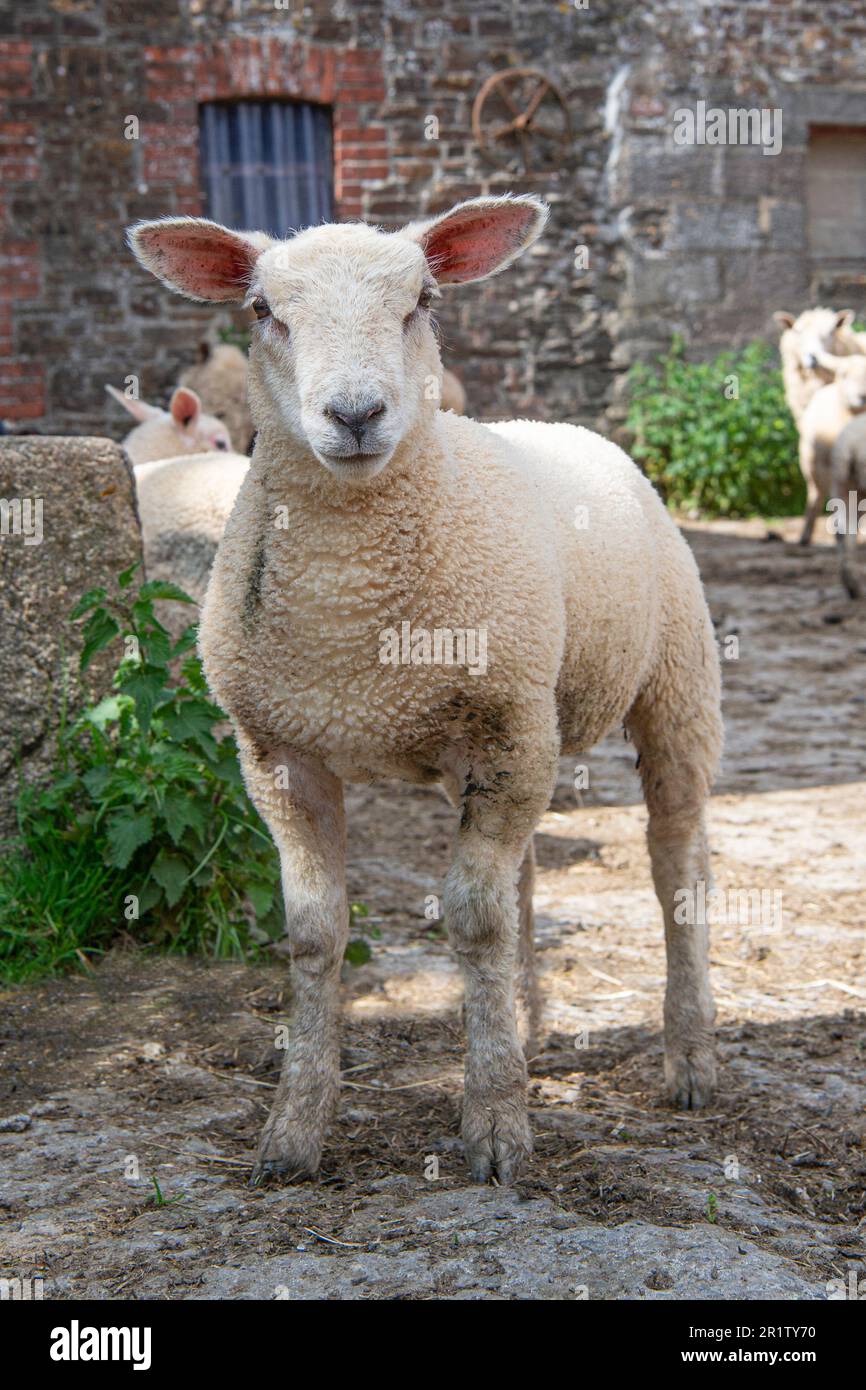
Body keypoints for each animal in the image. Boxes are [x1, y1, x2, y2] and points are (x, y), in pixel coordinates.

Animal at [129, 197, 723, 1185]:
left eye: (423, 301)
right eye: (262, 310)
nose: (355, 414)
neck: (352, 611)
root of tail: (553, 424)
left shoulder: (508, 731)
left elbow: (474, 922)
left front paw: (495, 1127)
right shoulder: (278, 754)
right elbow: (315, 931)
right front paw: (294, 1131)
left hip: (673, 684)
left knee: (678, 862)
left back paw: (690, 1058)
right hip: (508, 737)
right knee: (525, 872)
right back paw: (526, 1029)